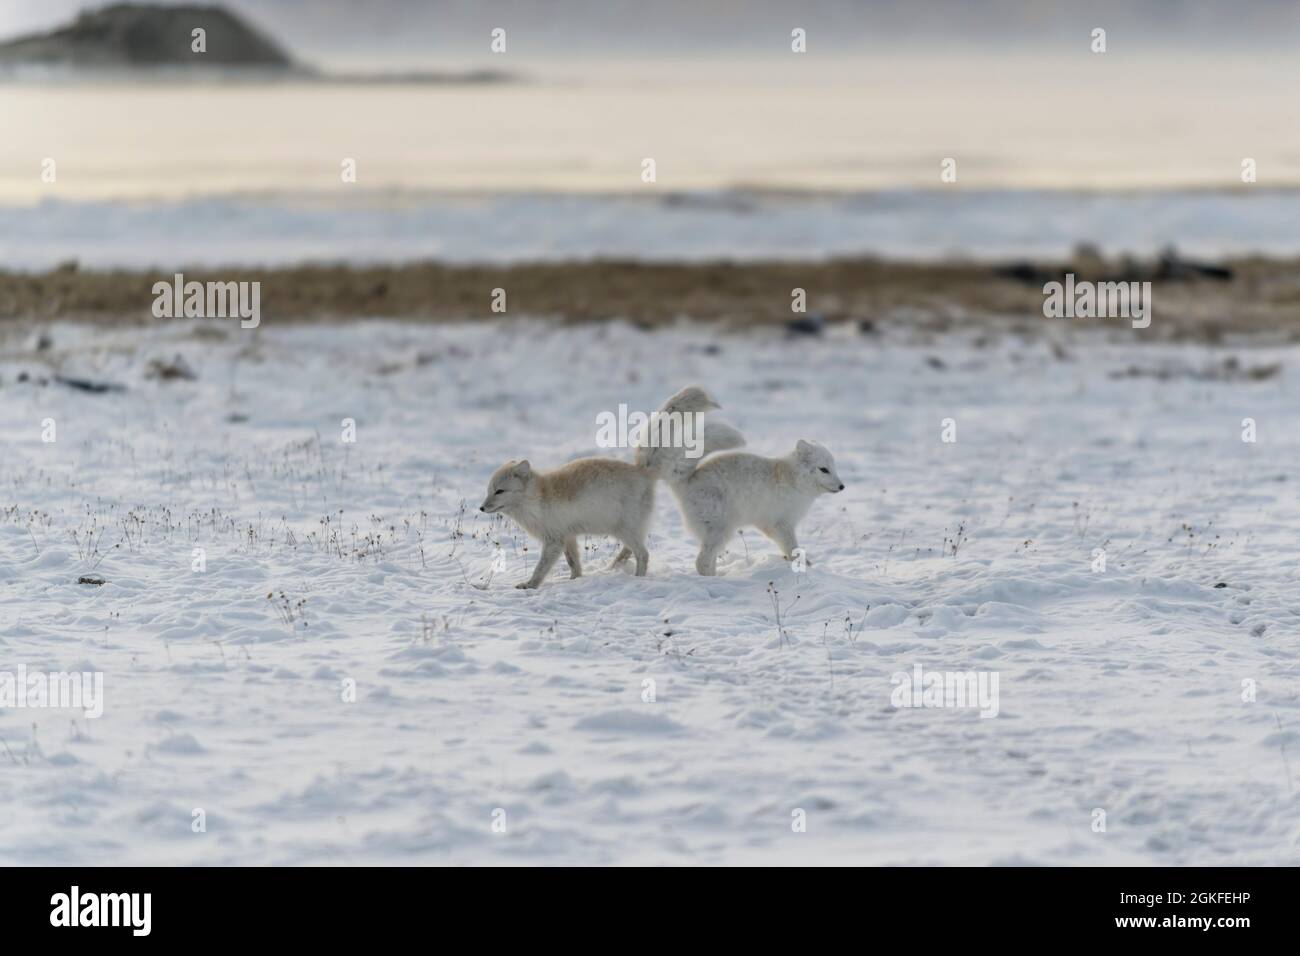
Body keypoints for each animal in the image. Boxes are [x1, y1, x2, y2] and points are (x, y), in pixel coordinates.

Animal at [479, 385, 743, 589]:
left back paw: (637, 578)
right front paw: (575, 580)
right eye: (489, 490)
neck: (537, 499)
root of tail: (641, 470)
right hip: (626, 528)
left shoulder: (554, 540)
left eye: (499, 491)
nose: (481, 508)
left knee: (643, 553)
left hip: (624, 527)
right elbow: (574, 562)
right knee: (631, 550)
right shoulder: (568, 536)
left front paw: (530, 585)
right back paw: (616, 567)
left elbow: (541, 568)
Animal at [663, 438, 845, 576]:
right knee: (702, 561)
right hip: (720, 529)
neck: (792, 479)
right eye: (823, 469)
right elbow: (793, 546)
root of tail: (687, 481)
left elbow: (787, 547)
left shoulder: (769, 525)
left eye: (834, 468)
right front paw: (804, 564)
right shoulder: (782, 523)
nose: (842, 486)